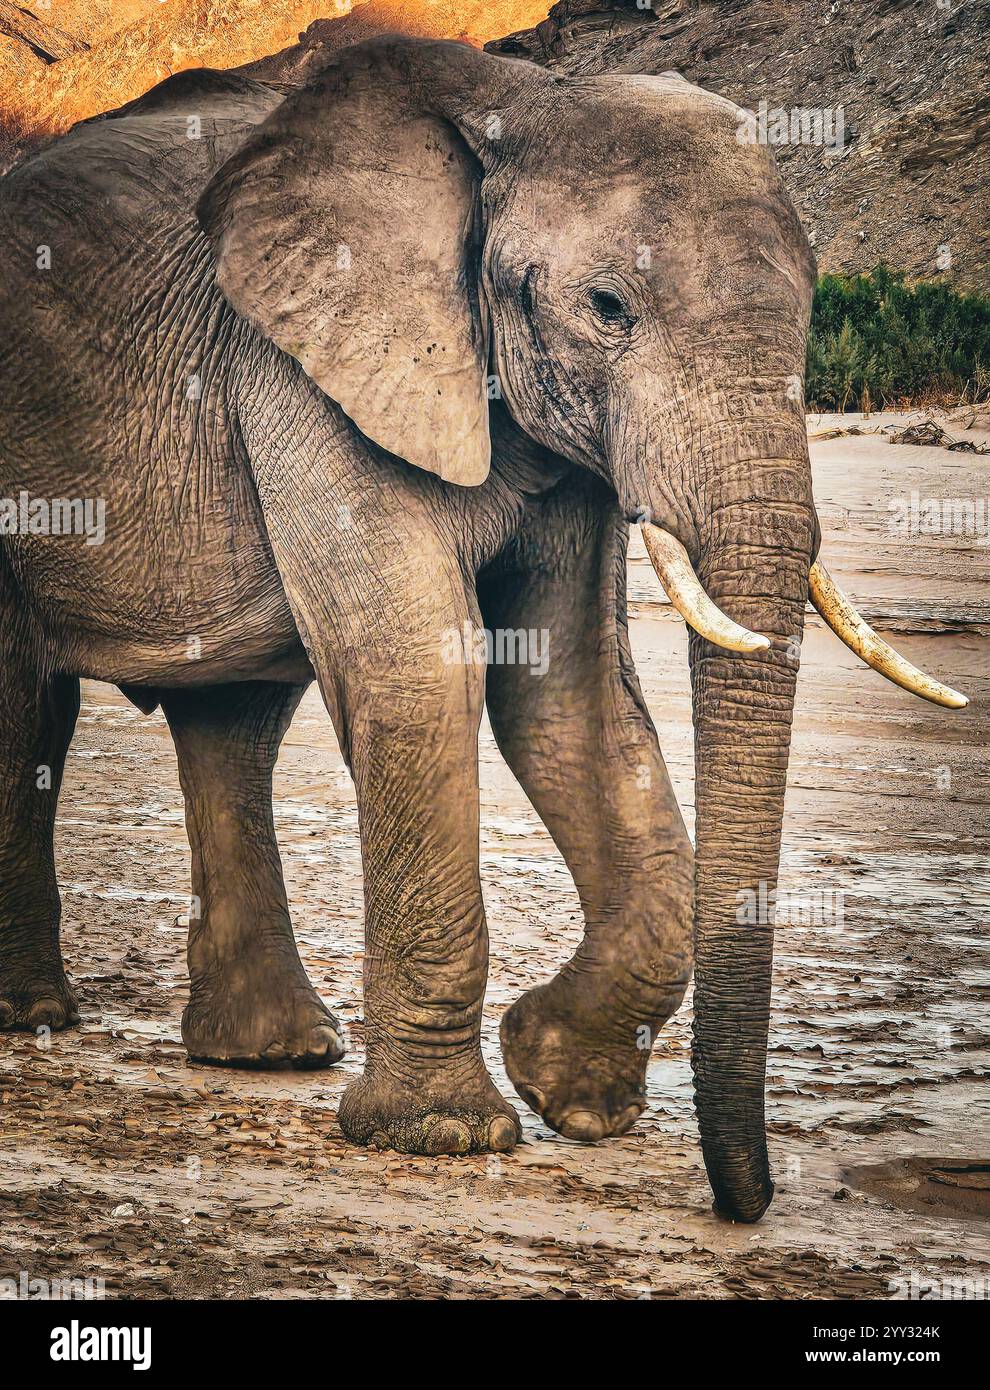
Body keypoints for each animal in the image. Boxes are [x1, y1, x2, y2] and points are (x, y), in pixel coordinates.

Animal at [0, 37, 967, 1222]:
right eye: (608, 305)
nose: (750, 1202)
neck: (513, 106)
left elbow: (570, 700)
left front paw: (570, 1093)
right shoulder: (303, 363)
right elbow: (419, 672)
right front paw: (446, 1136)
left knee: (230, 727)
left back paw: (267, 1052)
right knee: (26, 711)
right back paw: (40, 1020)